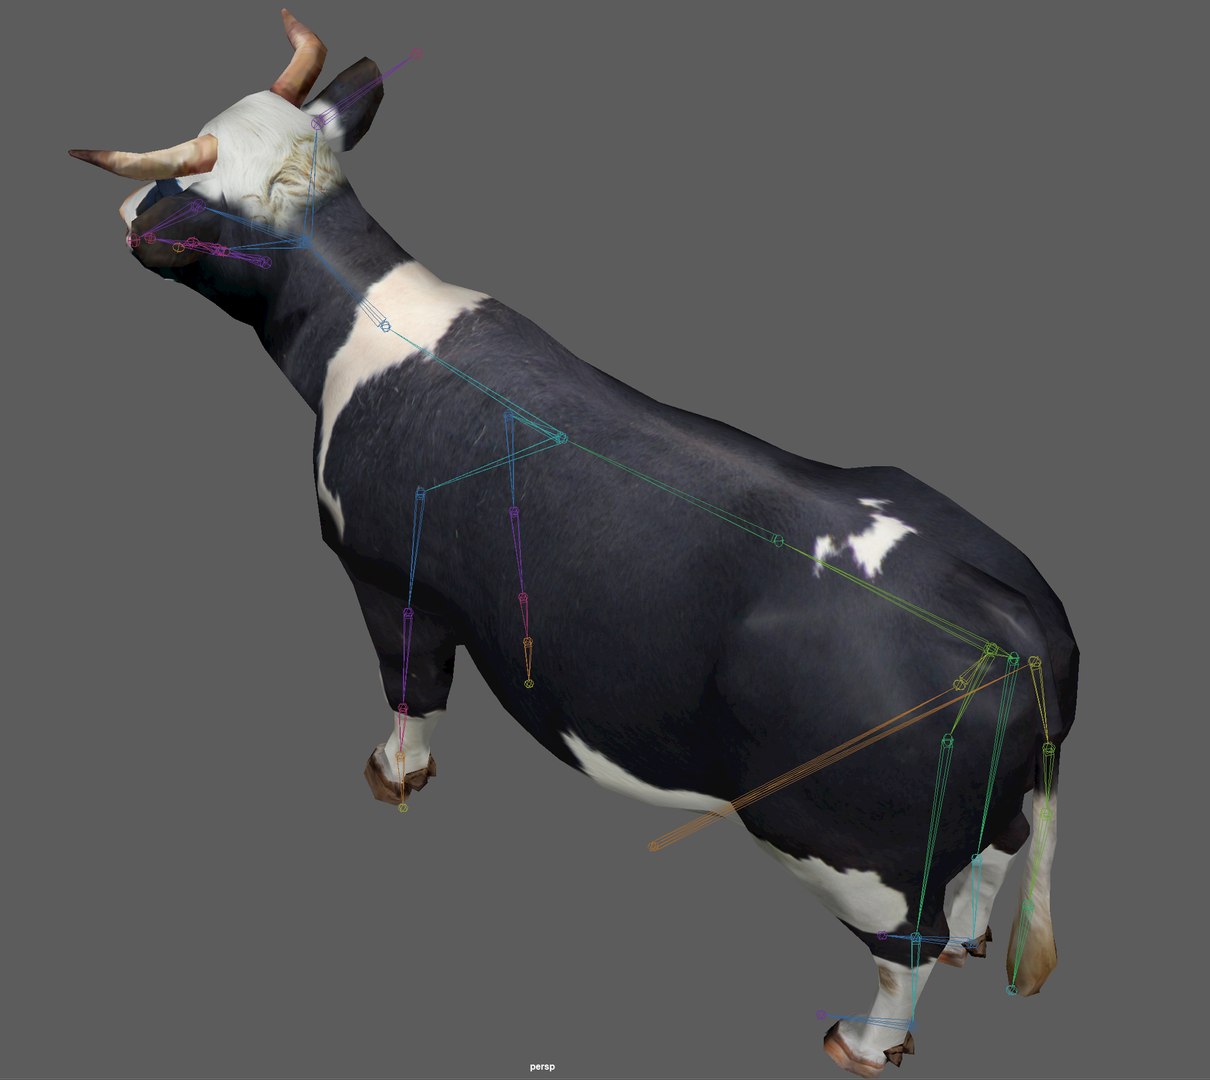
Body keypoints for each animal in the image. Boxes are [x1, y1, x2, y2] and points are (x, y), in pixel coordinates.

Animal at [71, 12, 1078, 1076]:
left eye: (180, 189)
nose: (129, 204)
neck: (356, 322)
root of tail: (1013, 614)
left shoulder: (389, 577)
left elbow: (411, 686)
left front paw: (396, 772)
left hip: (842, 839)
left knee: (904, 945)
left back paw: (865, 1040)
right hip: (979, 806)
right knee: (998, 850)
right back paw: (970, 935)